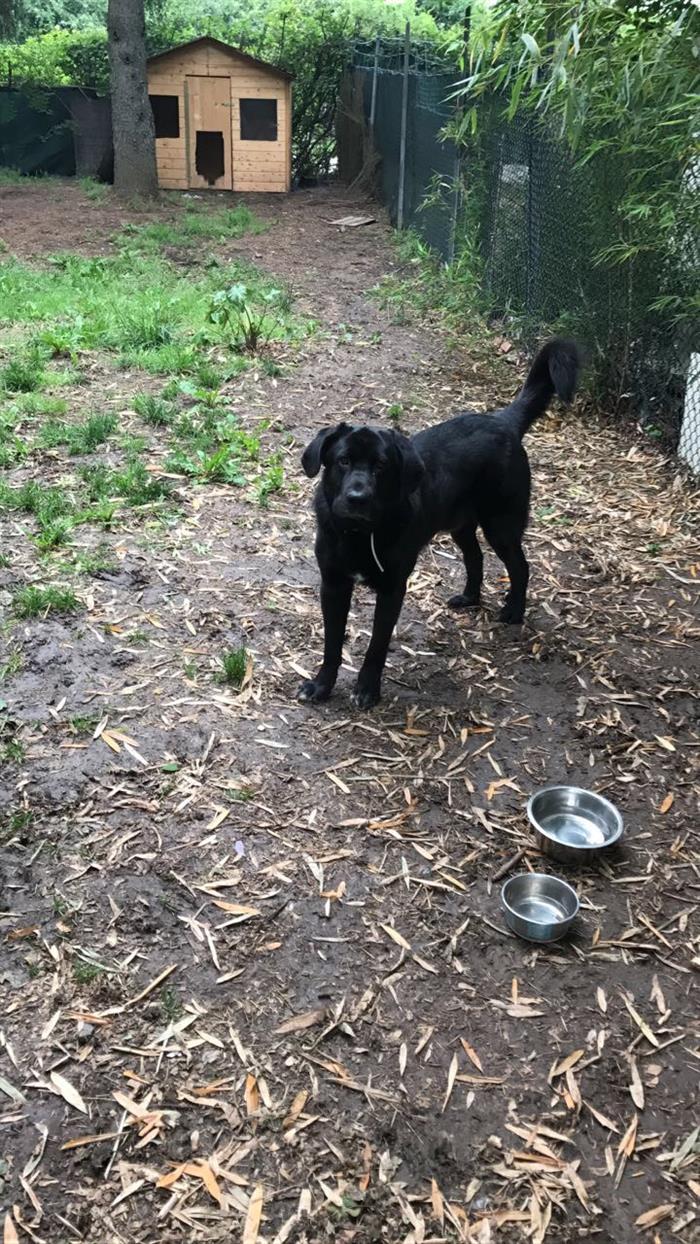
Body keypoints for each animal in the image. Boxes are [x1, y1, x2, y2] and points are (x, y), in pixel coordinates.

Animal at [300, 338, 581, 711]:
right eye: (343, 461)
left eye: (381, 466)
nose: (357, 497)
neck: (361, 535)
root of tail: (503, 421)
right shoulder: (333, 585)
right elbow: (332, 645)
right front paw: (321, 686)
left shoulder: (392, 589)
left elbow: (376, 647)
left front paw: (367, 689)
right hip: (461, 525)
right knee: (475, 557)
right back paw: (470, 597)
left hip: (501, 525)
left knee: (520, 566)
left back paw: (514, 610)